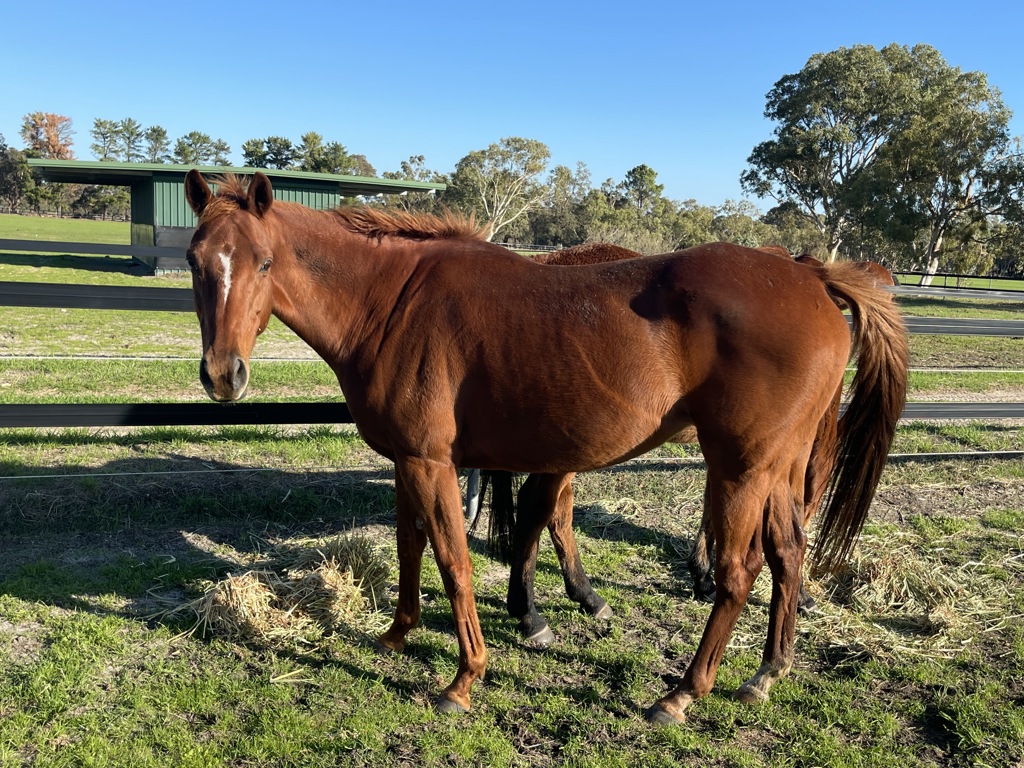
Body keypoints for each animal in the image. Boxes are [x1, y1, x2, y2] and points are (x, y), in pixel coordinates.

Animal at [183, 170, 908, 723]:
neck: (393, 303)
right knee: (788, 555)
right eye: (195, 262)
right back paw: (766, 673)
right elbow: (410, 547)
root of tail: (814, 280)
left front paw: (464, 678)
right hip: (777, 469)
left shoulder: (432, 463)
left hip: (739, 468)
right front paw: (396, 634)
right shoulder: (406, 461)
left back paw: (680, 695)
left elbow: (453, 560)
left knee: (738, 572)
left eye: (264, 263)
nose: (223, 375)